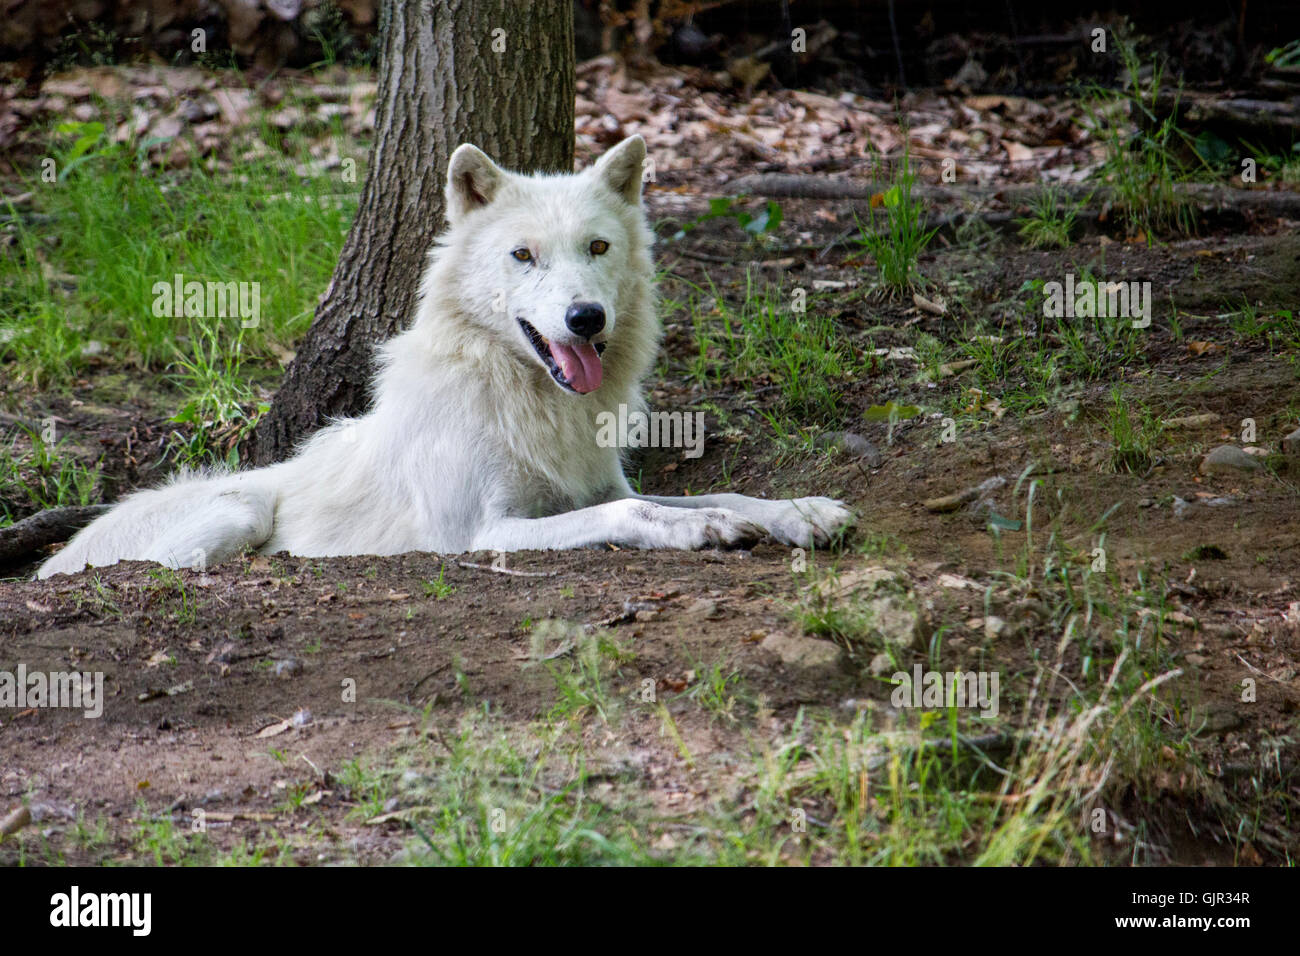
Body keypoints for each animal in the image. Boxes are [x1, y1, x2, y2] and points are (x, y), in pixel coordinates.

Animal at [38, 136, 853, 579]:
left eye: (597, 247)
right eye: (523, 255)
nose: (584, 318)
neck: (527, 398)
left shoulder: (590, 486)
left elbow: (721, 493)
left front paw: (798, 512)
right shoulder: (482, 533)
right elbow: (633, 511)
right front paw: (700, 531)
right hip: (238, 509)